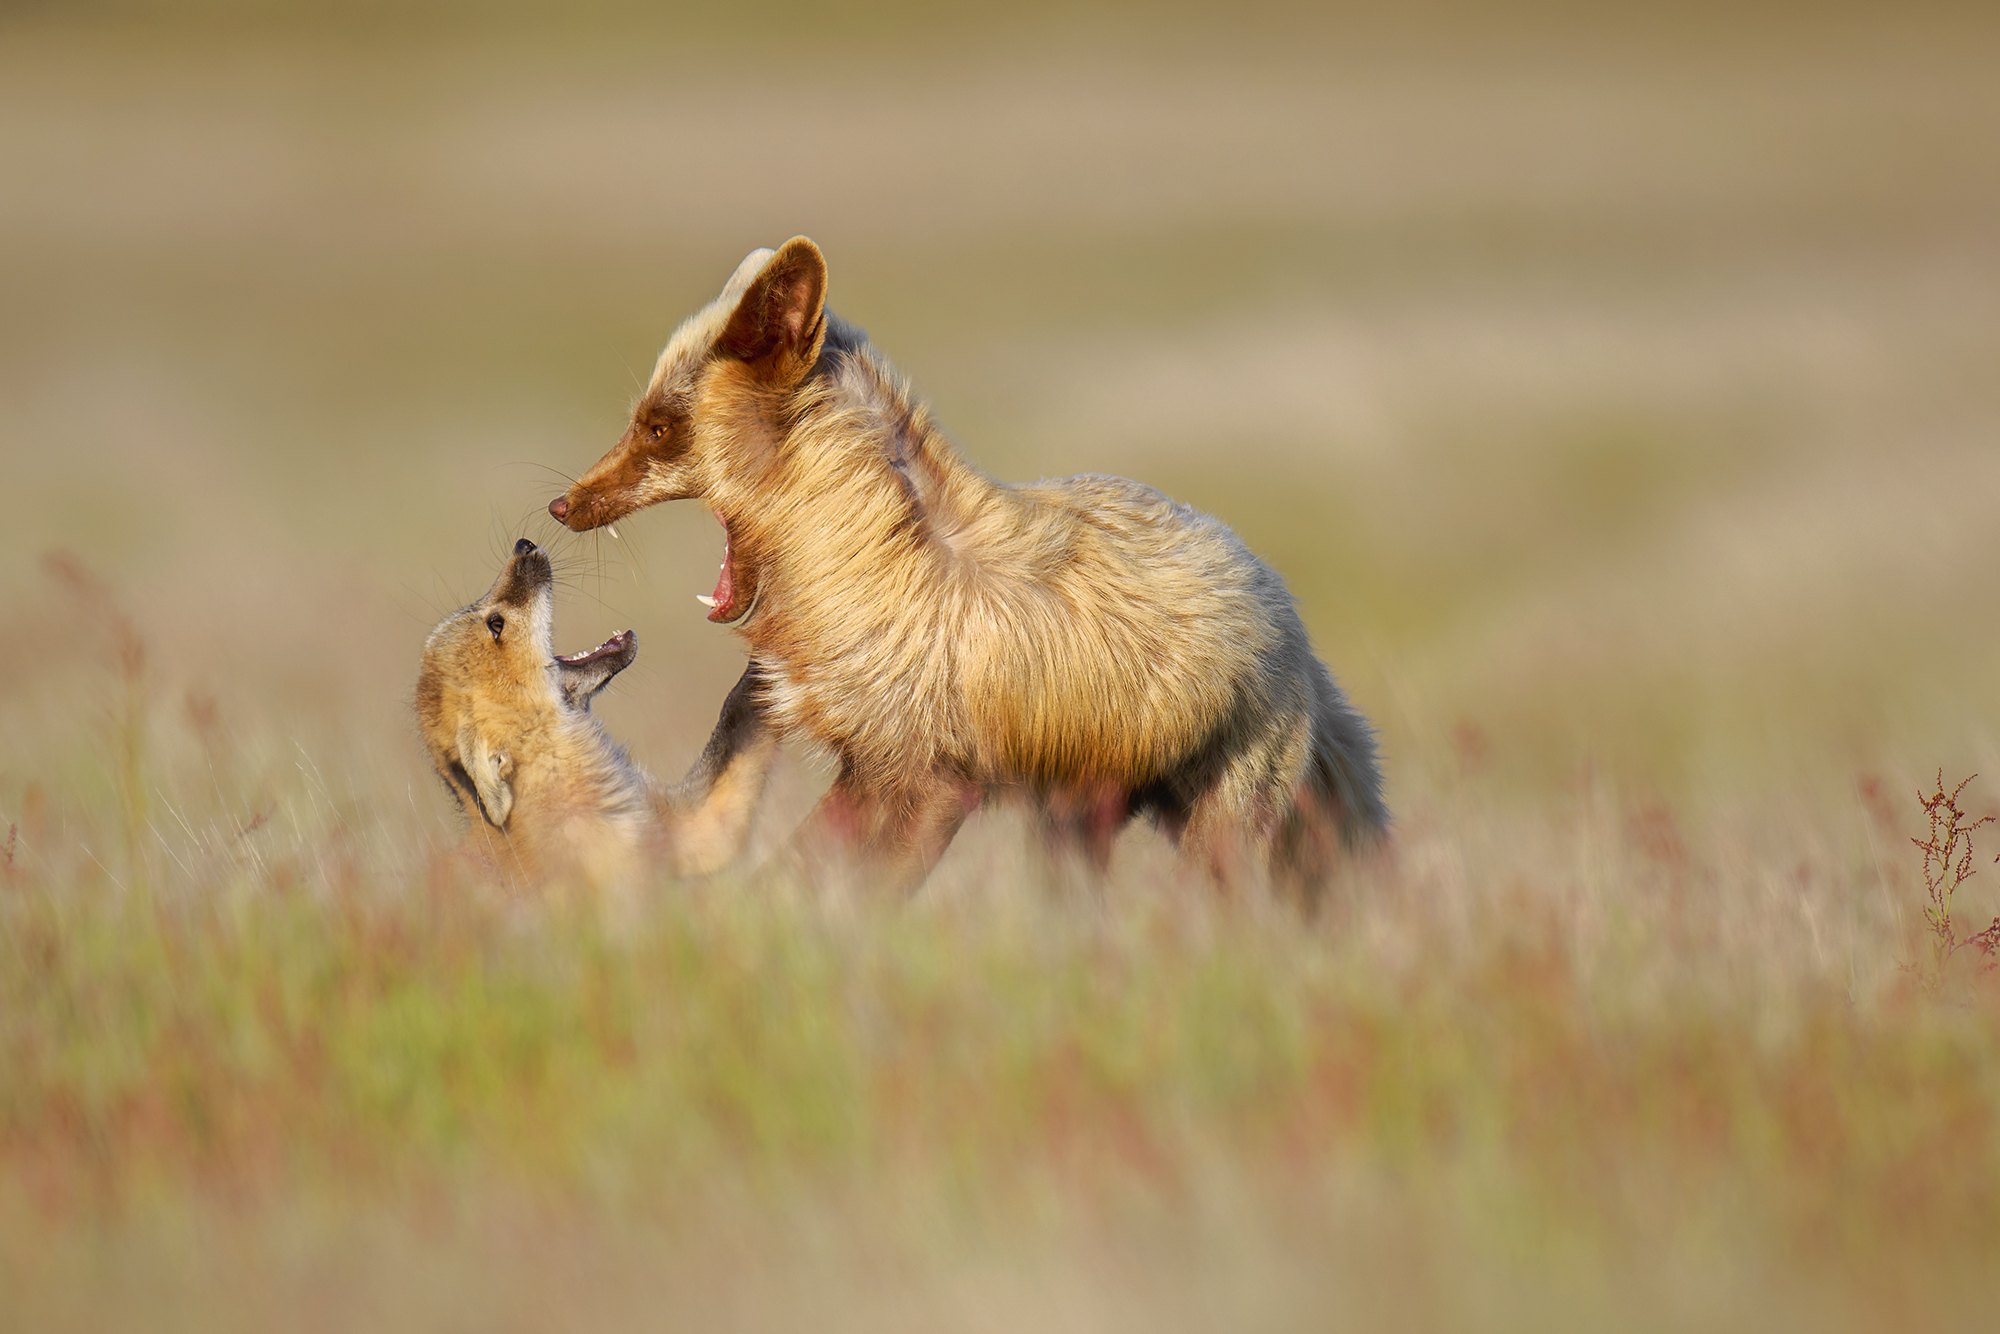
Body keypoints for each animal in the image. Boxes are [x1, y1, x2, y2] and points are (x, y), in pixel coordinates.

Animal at [546, 238, 1387, 894]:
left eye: (658, 428)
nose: (560, 507)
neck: (868, 577)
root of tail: (1277, 595)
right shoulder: (868, 766)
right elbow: (803, 871)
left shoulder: (934, 782)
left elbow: (849, 889)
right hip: (1074, 823)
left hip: (1214, 831)